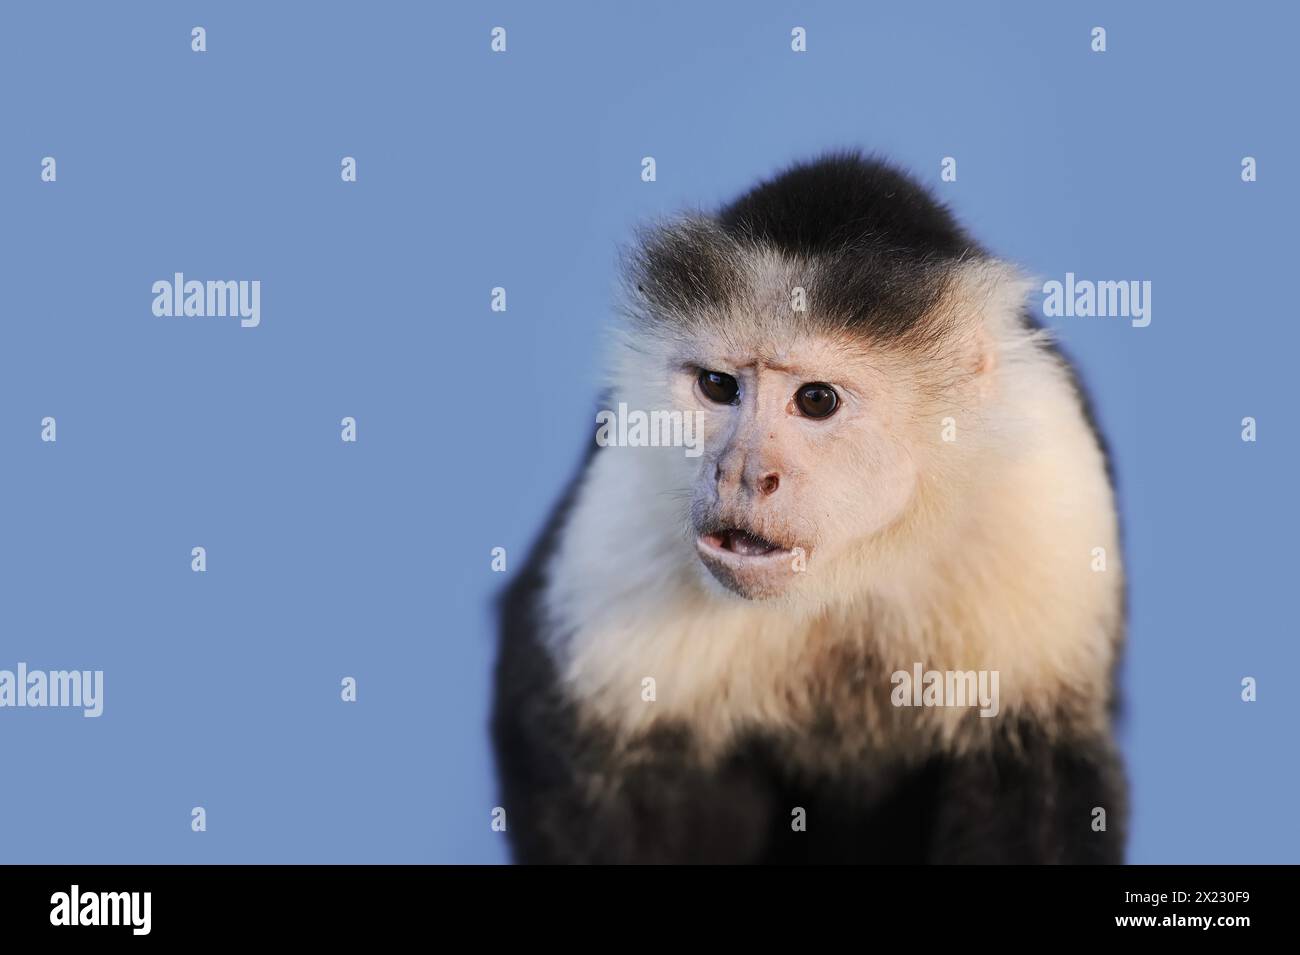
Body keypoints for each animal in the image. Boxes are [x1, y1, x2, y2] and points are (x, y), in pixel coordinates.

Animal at [492, 152, 1127, 864]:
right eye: (719, 387)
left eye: (817, 400)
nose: (741, 473)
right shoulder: (628, 482)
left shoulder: (1047, 494)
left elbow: (1037, 777)